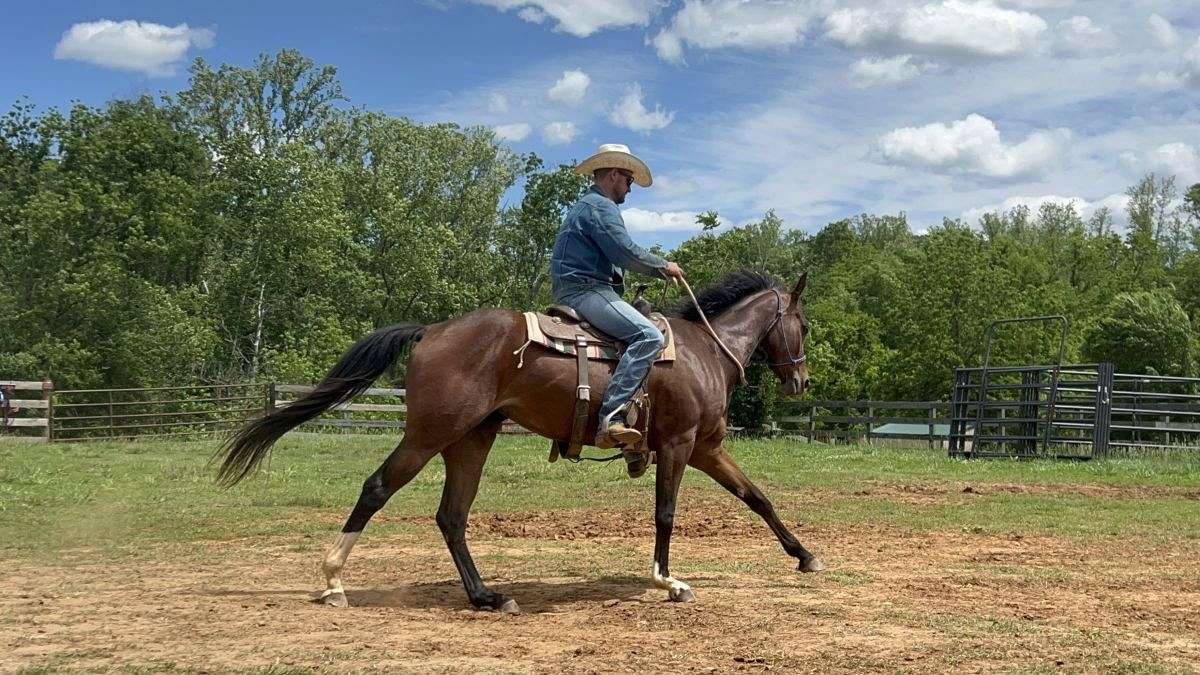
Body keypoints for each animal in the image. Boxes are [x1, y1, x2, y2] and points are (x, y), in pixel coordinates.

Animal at [216, 269, 823, 612]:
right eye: (804, 324)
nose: (800, 382)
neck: (704, 351)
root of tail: (432, 330)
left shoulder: (706, 448)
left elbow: (757, 497)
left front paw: (804, 556)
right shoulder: (678, 445)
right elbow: (667, 514)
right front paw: (668, 581)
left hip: (470, 441)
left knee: (451, 516)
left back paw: (485, 596)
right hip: (427, 436)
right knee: (377, 488)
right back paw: (334, 582)